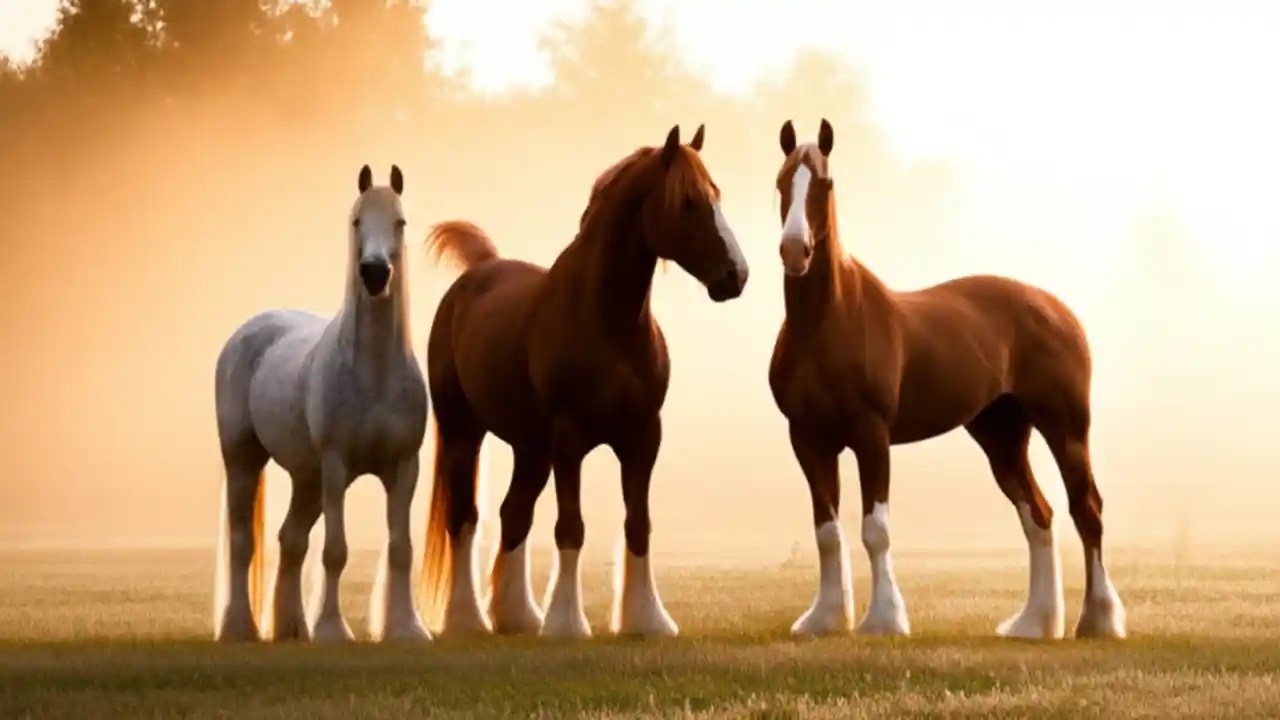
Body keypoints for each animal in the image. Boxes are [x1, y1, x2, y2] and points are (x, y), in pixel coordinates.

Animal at [212, 165, 430, 643]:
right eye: (356, 221)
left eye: (400, 222)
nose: (374, 273)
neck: (374, 376)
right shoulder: (336, 466)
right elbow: (335, 551)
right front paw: (334, 629)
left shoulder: (404, 467)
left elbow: (401, 549)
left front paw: (407, 628)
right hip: (243, 459)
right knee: (242, 542)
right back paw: (240, 628)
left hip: (306, 478)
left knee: (291, 540)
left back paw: (293, 628)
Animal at [420, 125, 748, 639]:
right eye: (688, 201)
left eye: (716, 195)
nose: (736, 275)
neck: (606, 324)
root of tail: (475, 274)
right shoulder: (569, 439)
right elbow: (570, 526)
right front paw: (568, 623)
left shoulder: (642, 436)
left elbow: (638, 523)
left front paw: (646, 619)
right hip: (463, 431)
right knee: (464, 517)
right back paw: (468, 620)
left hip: (531, 448)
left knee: (514, 513)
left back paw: (518, 616)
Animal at [768, 119, 1126, 640]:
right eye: (781, 182)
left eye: (826, 183)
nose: (796, 250)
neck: (828, 323)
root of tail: (1057, 310)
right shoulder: (809, 439)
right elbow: (827, 532)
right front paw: (825, 619)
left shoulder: (872, 435)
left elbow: (875, 530)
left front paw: (885, 620)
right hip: (1001, 435)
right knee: (1037, 515)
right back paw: (1032, 624)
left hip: (1065, 427)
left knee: (1087, 510)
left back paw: (1098, 621)